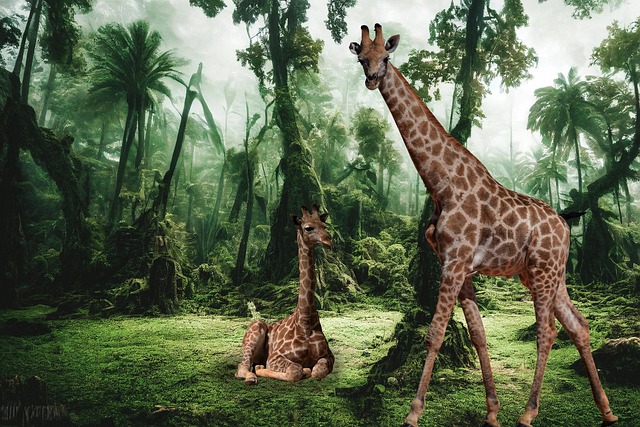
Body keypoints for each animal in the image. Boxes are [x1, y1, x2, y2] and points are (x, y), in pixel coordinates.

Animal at [235, 204, 335, 384]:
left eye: (325, 226)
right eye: (308, 228)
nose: (329, 240)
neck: (305, 321)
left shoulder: (328, 356)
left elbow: (318, 371)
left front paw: (310, 370)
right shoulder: (275, 357)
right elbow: (295, 371)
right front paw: (304, 370)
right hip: (255, 329)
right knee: (241, 367)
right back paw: (252, 376)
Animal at [350, 24, 618, 427]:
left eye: (386, 56)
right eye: (362, 58)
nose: (372, 79)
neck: (441, 184)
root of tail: (566, 224)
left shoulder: (455, 261)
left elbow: (435, 333)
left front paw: (413, 413)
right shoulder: (459, 266)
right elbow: (477, 333)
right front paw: (491, 411)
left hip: (543, 272)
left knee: (547, 331)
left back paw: (528, 413)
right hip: (547, 275)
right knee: (578, 325)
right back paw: (607, 410)